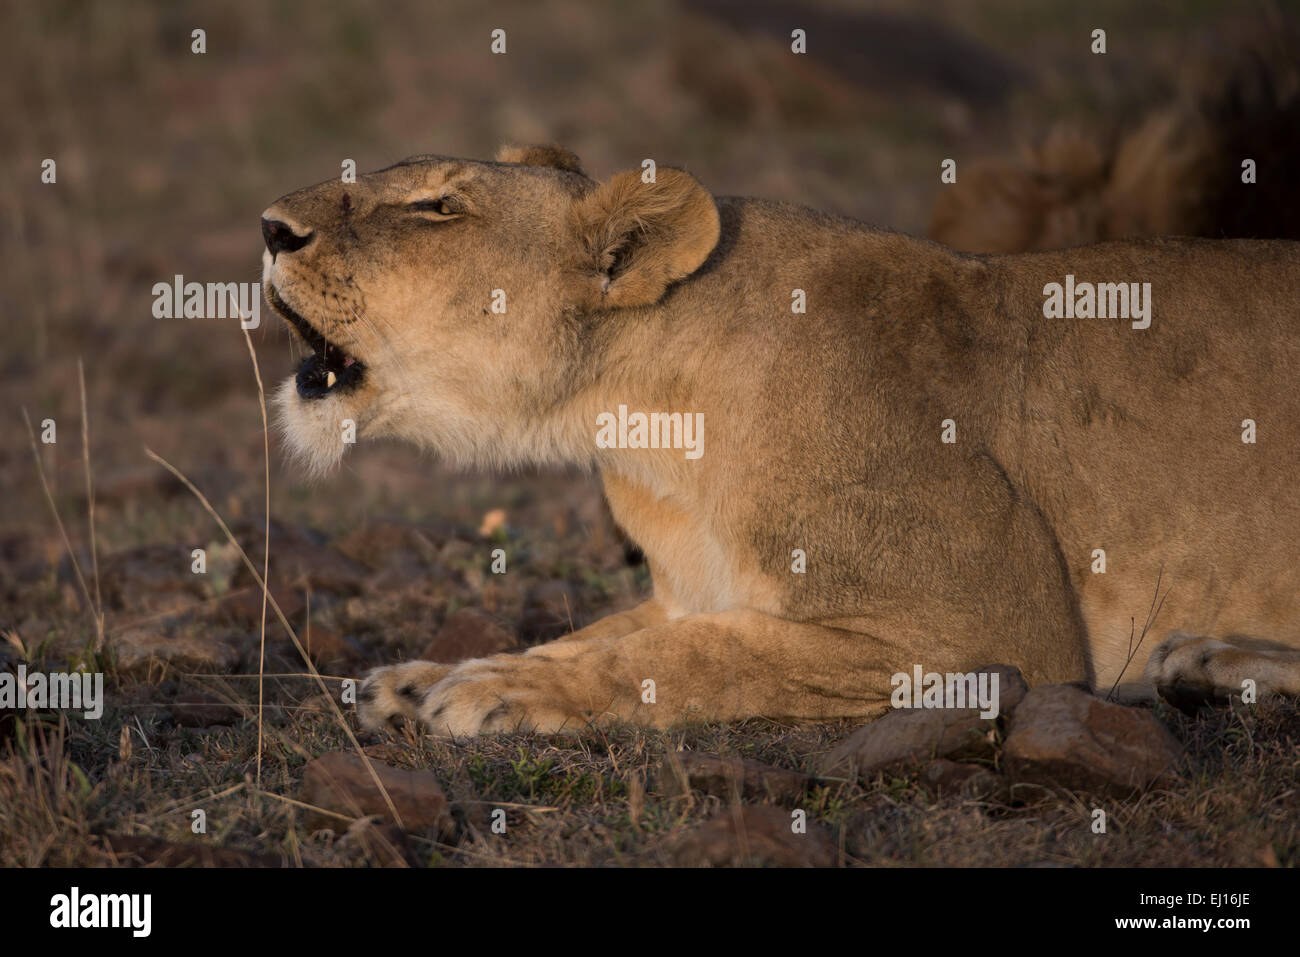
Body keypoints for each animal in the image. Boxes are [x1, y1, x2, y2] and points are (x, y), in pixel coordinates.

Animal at [259, 144, 1300, 737]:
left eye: (438, 208)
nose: (270, 227)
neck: (642, 417)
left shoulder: (1000, 632)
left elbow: (699, 655)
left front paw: (493, 688)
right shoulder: (687, 590)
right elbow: (607, 632)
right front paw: (419, 679)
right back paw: (1206, 666)